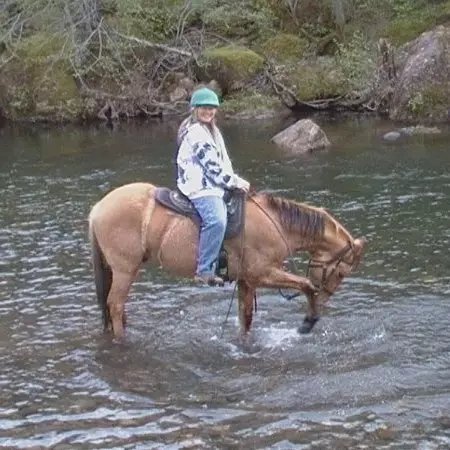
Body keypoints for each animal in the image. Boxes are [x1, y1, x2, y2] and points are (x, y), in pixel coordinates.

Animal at [87, 181, 366, 340]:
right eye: (341, 273)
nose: (325, 298)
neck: (276, 223)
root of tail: (98, 208)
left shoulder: (246, 281)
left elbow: (246, 318)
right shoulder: (263, 274)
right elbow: (306, 285)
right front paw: (308, 323)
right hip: (125, 269)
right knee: (115, 305)